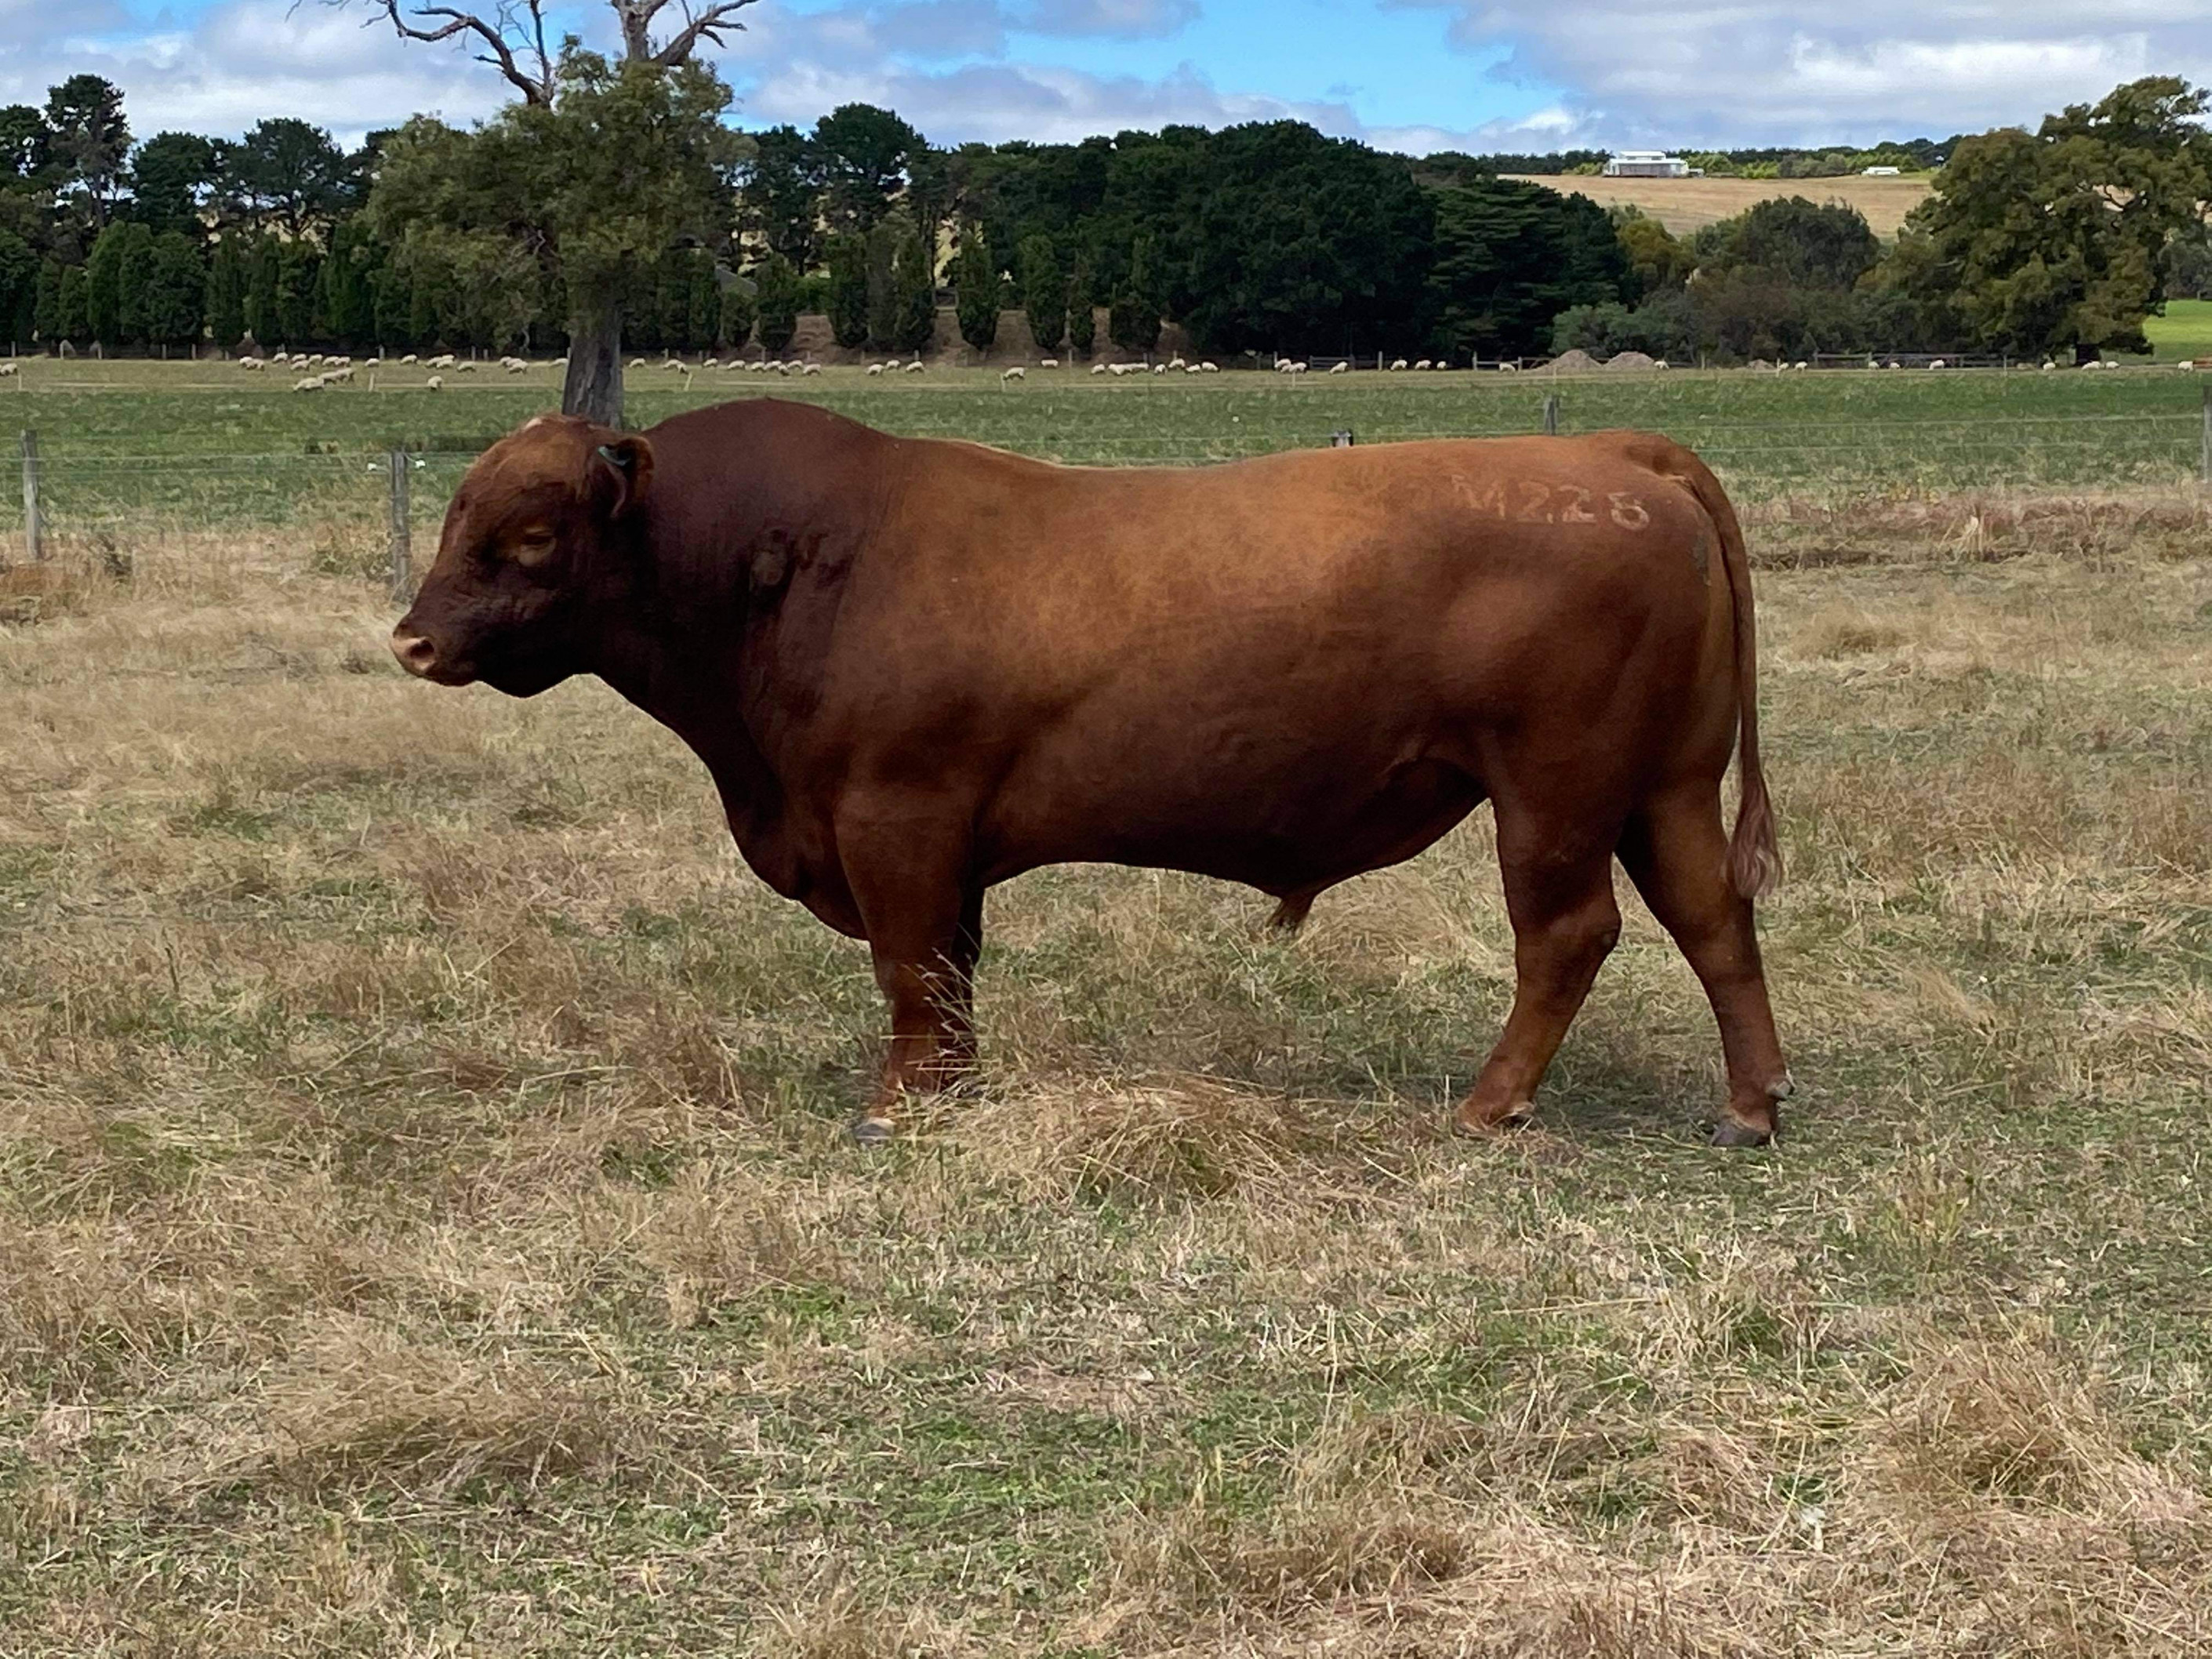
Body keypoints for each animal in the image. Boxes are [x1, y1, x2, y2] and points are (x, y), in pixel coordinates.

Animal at [390, 402, 1791, 1146]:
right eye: (456, 513)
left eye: (529, 534)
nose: (412, 641)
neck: (791, 561)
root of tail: (1611, 455)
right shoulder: (934, 842)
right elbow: (947, 972)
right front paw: (951, 1087)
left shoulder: (894, 816)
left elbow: (908, 968)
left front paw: (897, 1105)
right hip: (1660, 788)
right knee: (1715, 921)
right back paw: (1750, 1104)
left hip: (1551, 796)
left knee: (1568, 936)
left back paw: (1489, 1107)